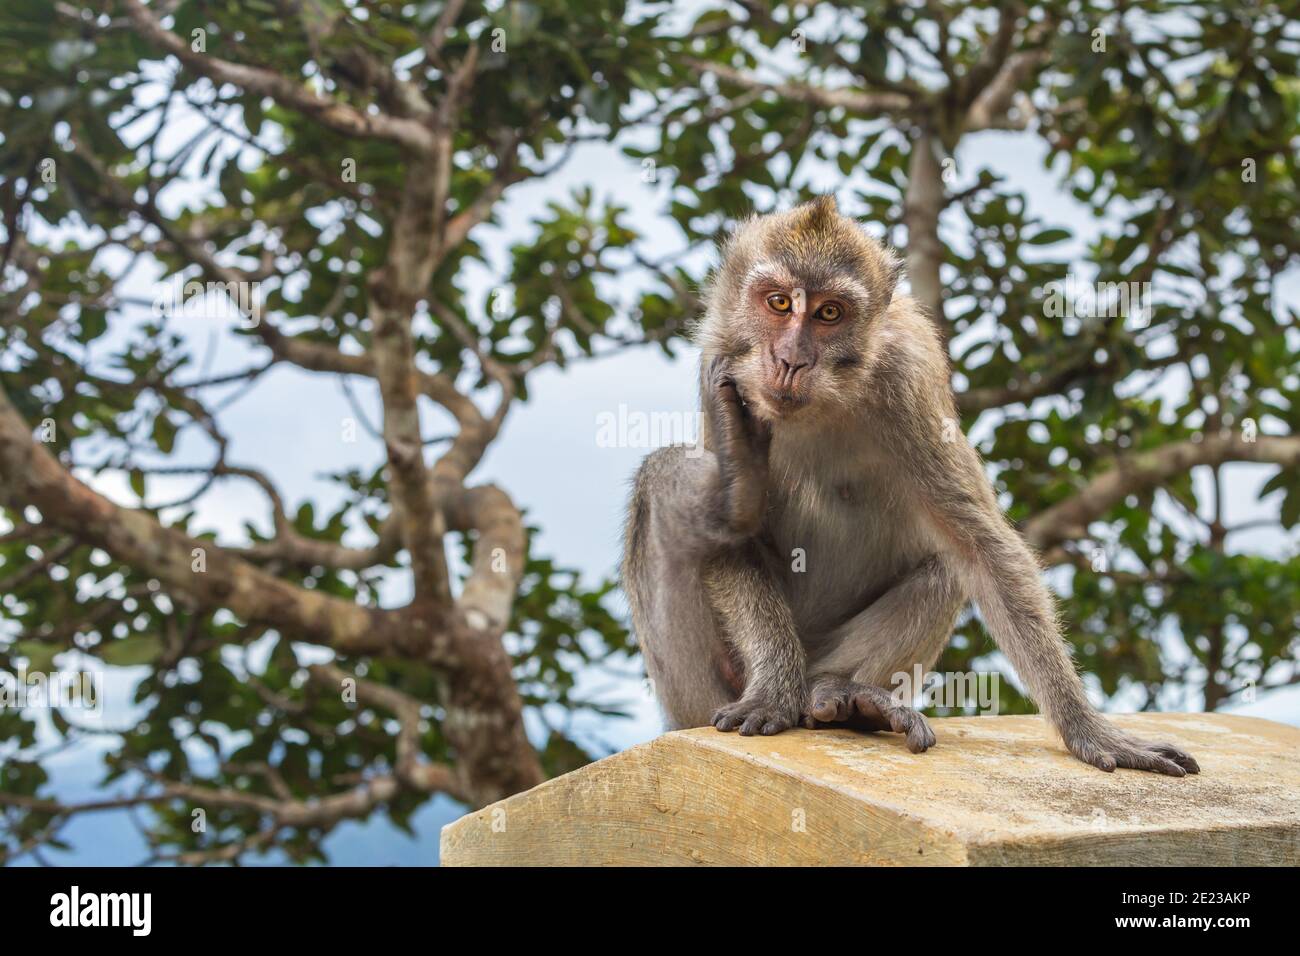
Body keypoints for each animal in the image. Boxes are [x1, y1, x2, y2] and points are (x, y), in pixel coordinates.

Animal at [622, 195, 1199, 776]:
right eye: (779, 303)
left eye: (830, 313)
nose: (790, 360)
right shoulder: (717, 360)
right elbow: (732, 545)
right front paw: (772, 691)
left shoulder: (909, 377)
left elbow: (982, 548)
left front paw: (1090, 731)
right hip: (697, 697)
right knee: (659, 484)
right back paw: (734, 497)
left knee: (946, 566)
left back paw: (837, 696)